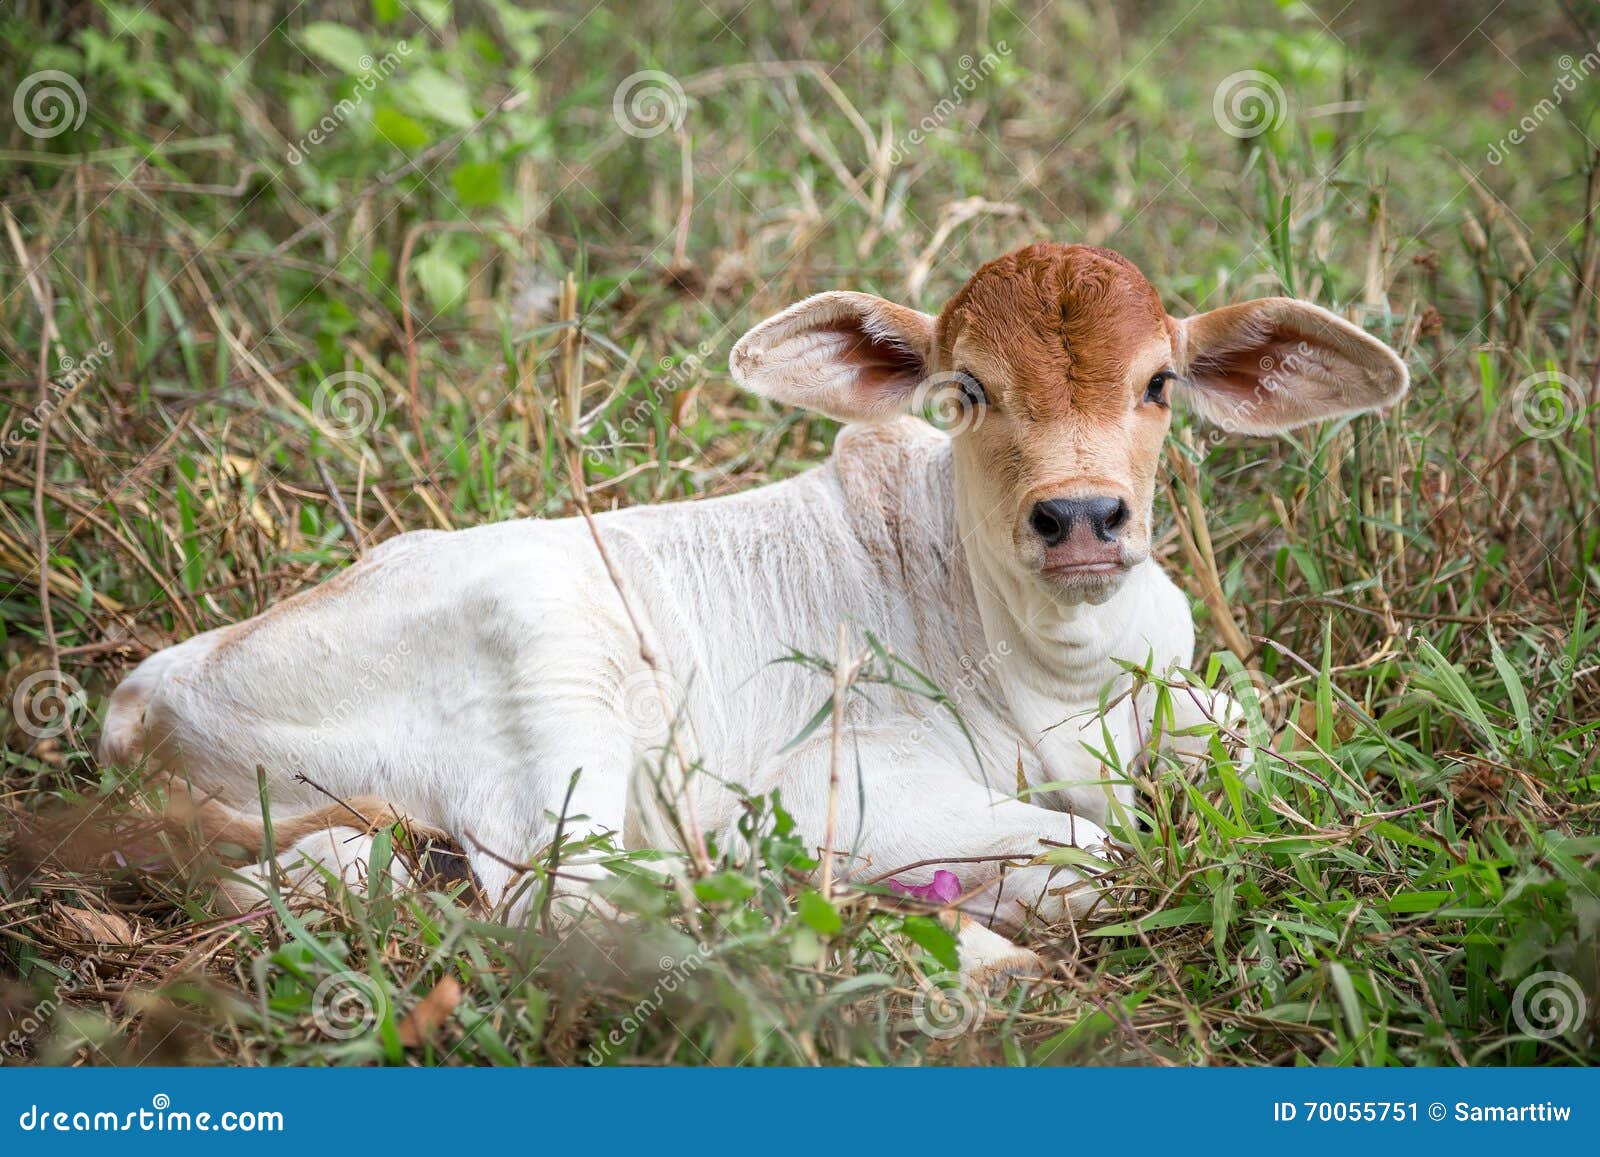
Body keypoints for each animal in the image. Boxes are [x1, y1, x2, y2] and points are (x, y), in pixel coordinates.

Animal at [98, 242, 1408, 984]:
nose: (1082, 516)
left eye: (1158, 383)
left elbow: (1269, 748)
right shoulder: (850, 783)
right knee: (576, 909)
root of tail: (136, 701)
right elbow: (1095, 848)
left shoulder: (1192, 695)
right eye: (968, 389)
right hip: (553, 673)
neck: (1059, 673)